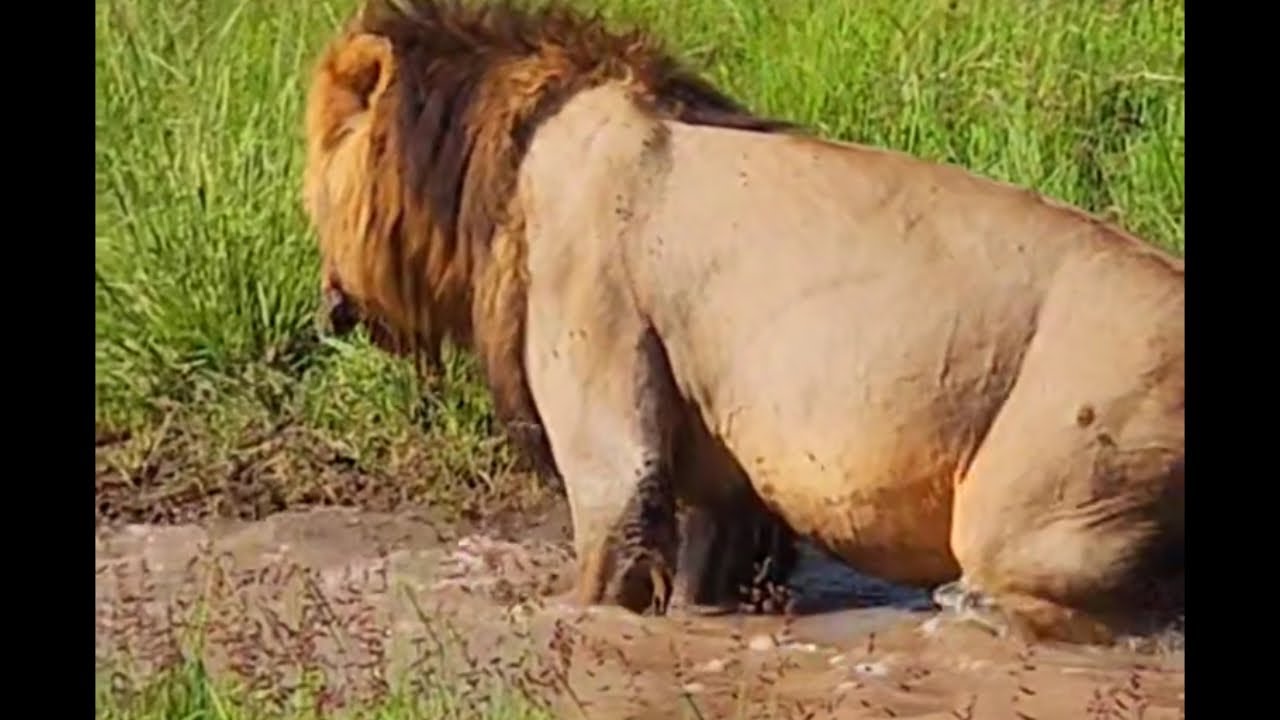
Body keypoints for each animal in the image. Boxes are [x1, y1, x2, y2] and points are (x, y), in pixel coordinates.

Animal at [302, 0, 1184, 644]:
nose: (329, 303)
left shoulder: (599, 360)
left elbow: (606, 541)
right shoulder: (716, 468)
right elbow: (706, 565)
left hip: (1043, 496)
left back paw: (969, 609)